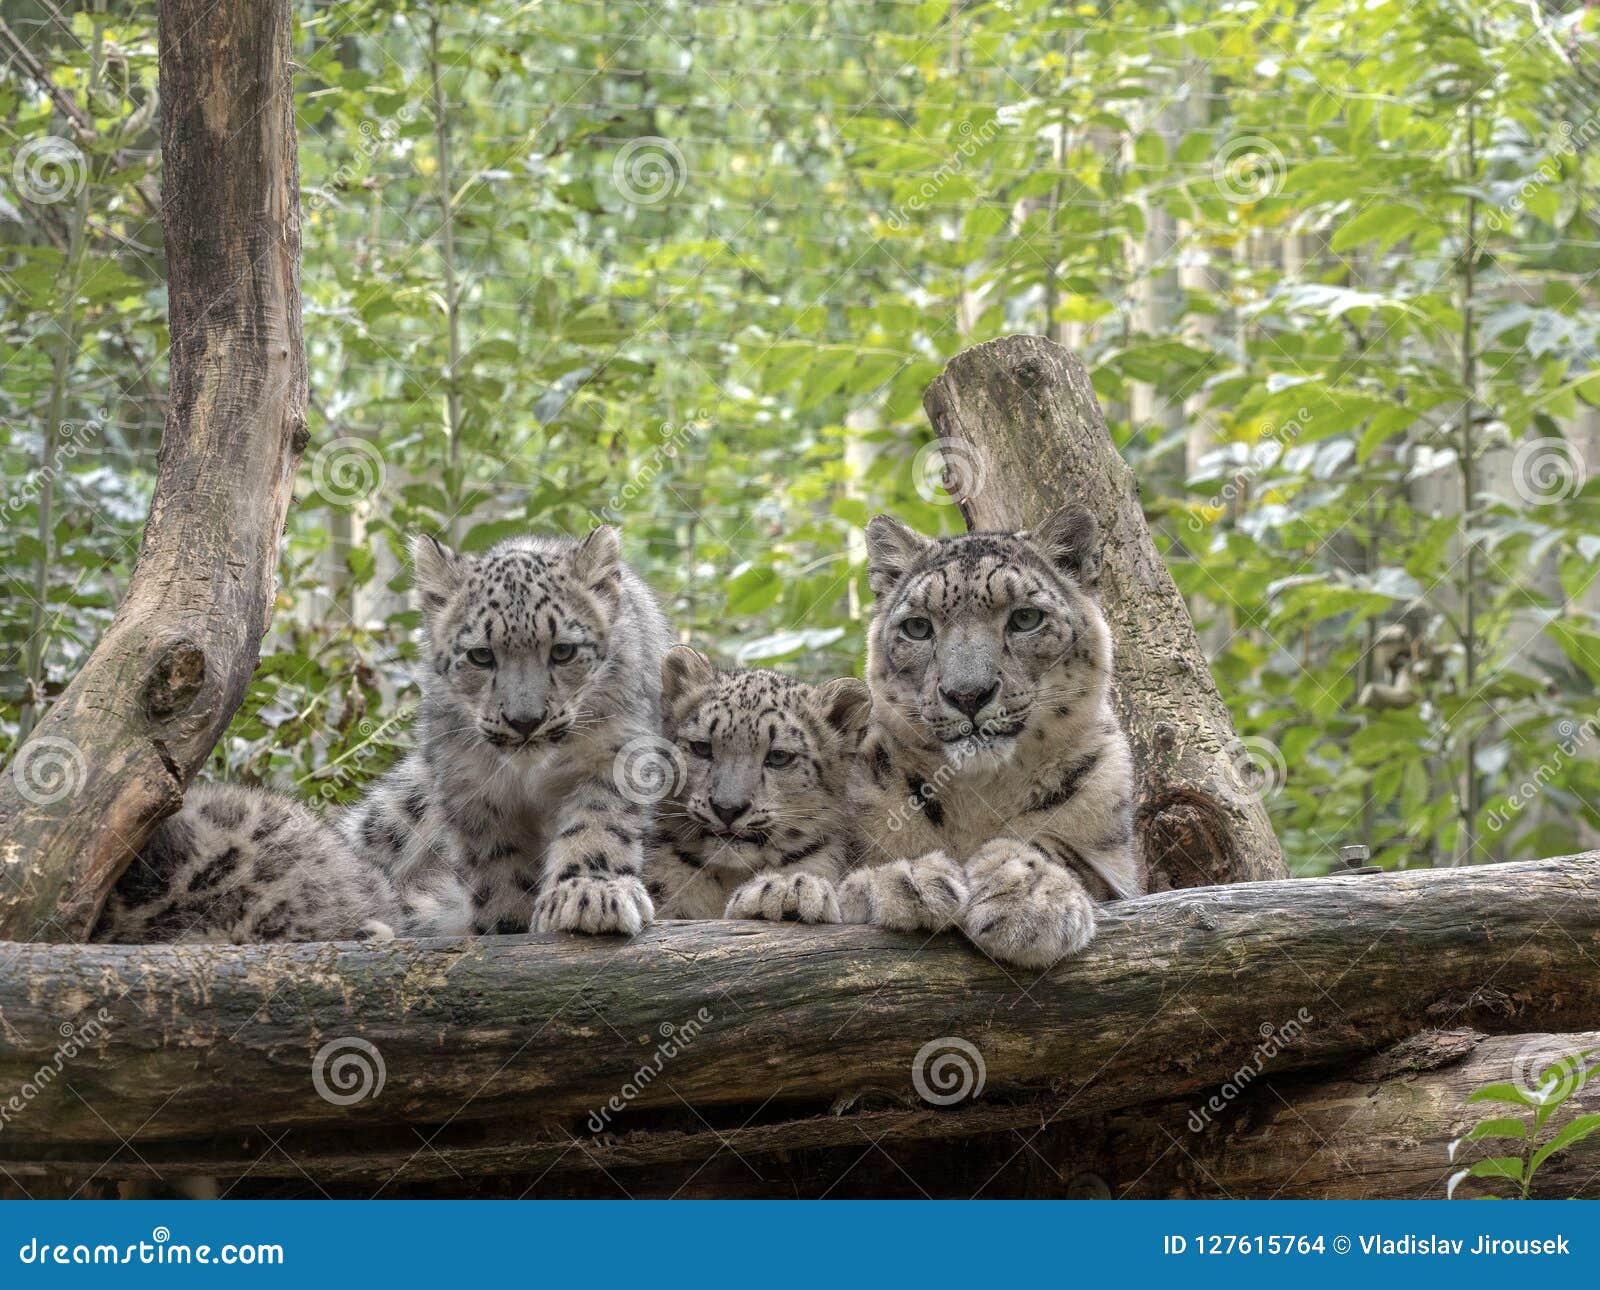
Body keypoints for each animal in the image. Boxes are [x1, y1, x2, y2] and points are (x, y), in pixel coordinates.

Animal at [340, 526, 673, 938]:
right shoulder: (471, 784)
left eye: (563, 650)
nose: (525, 720)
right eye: (480, 655)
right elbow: (498, 860)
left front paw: (590, 894)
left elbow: (598, 823)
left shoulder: (616, 754)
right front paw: (506, 922)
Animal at [838, 503, 1143, 969]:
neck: (980, 792)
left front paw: (1027, 896)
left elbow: (1060, 850)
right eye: (918, 627)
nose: (968, 694)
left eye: (1026, 618)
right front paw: (902, 882)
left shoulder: (1121, 870)